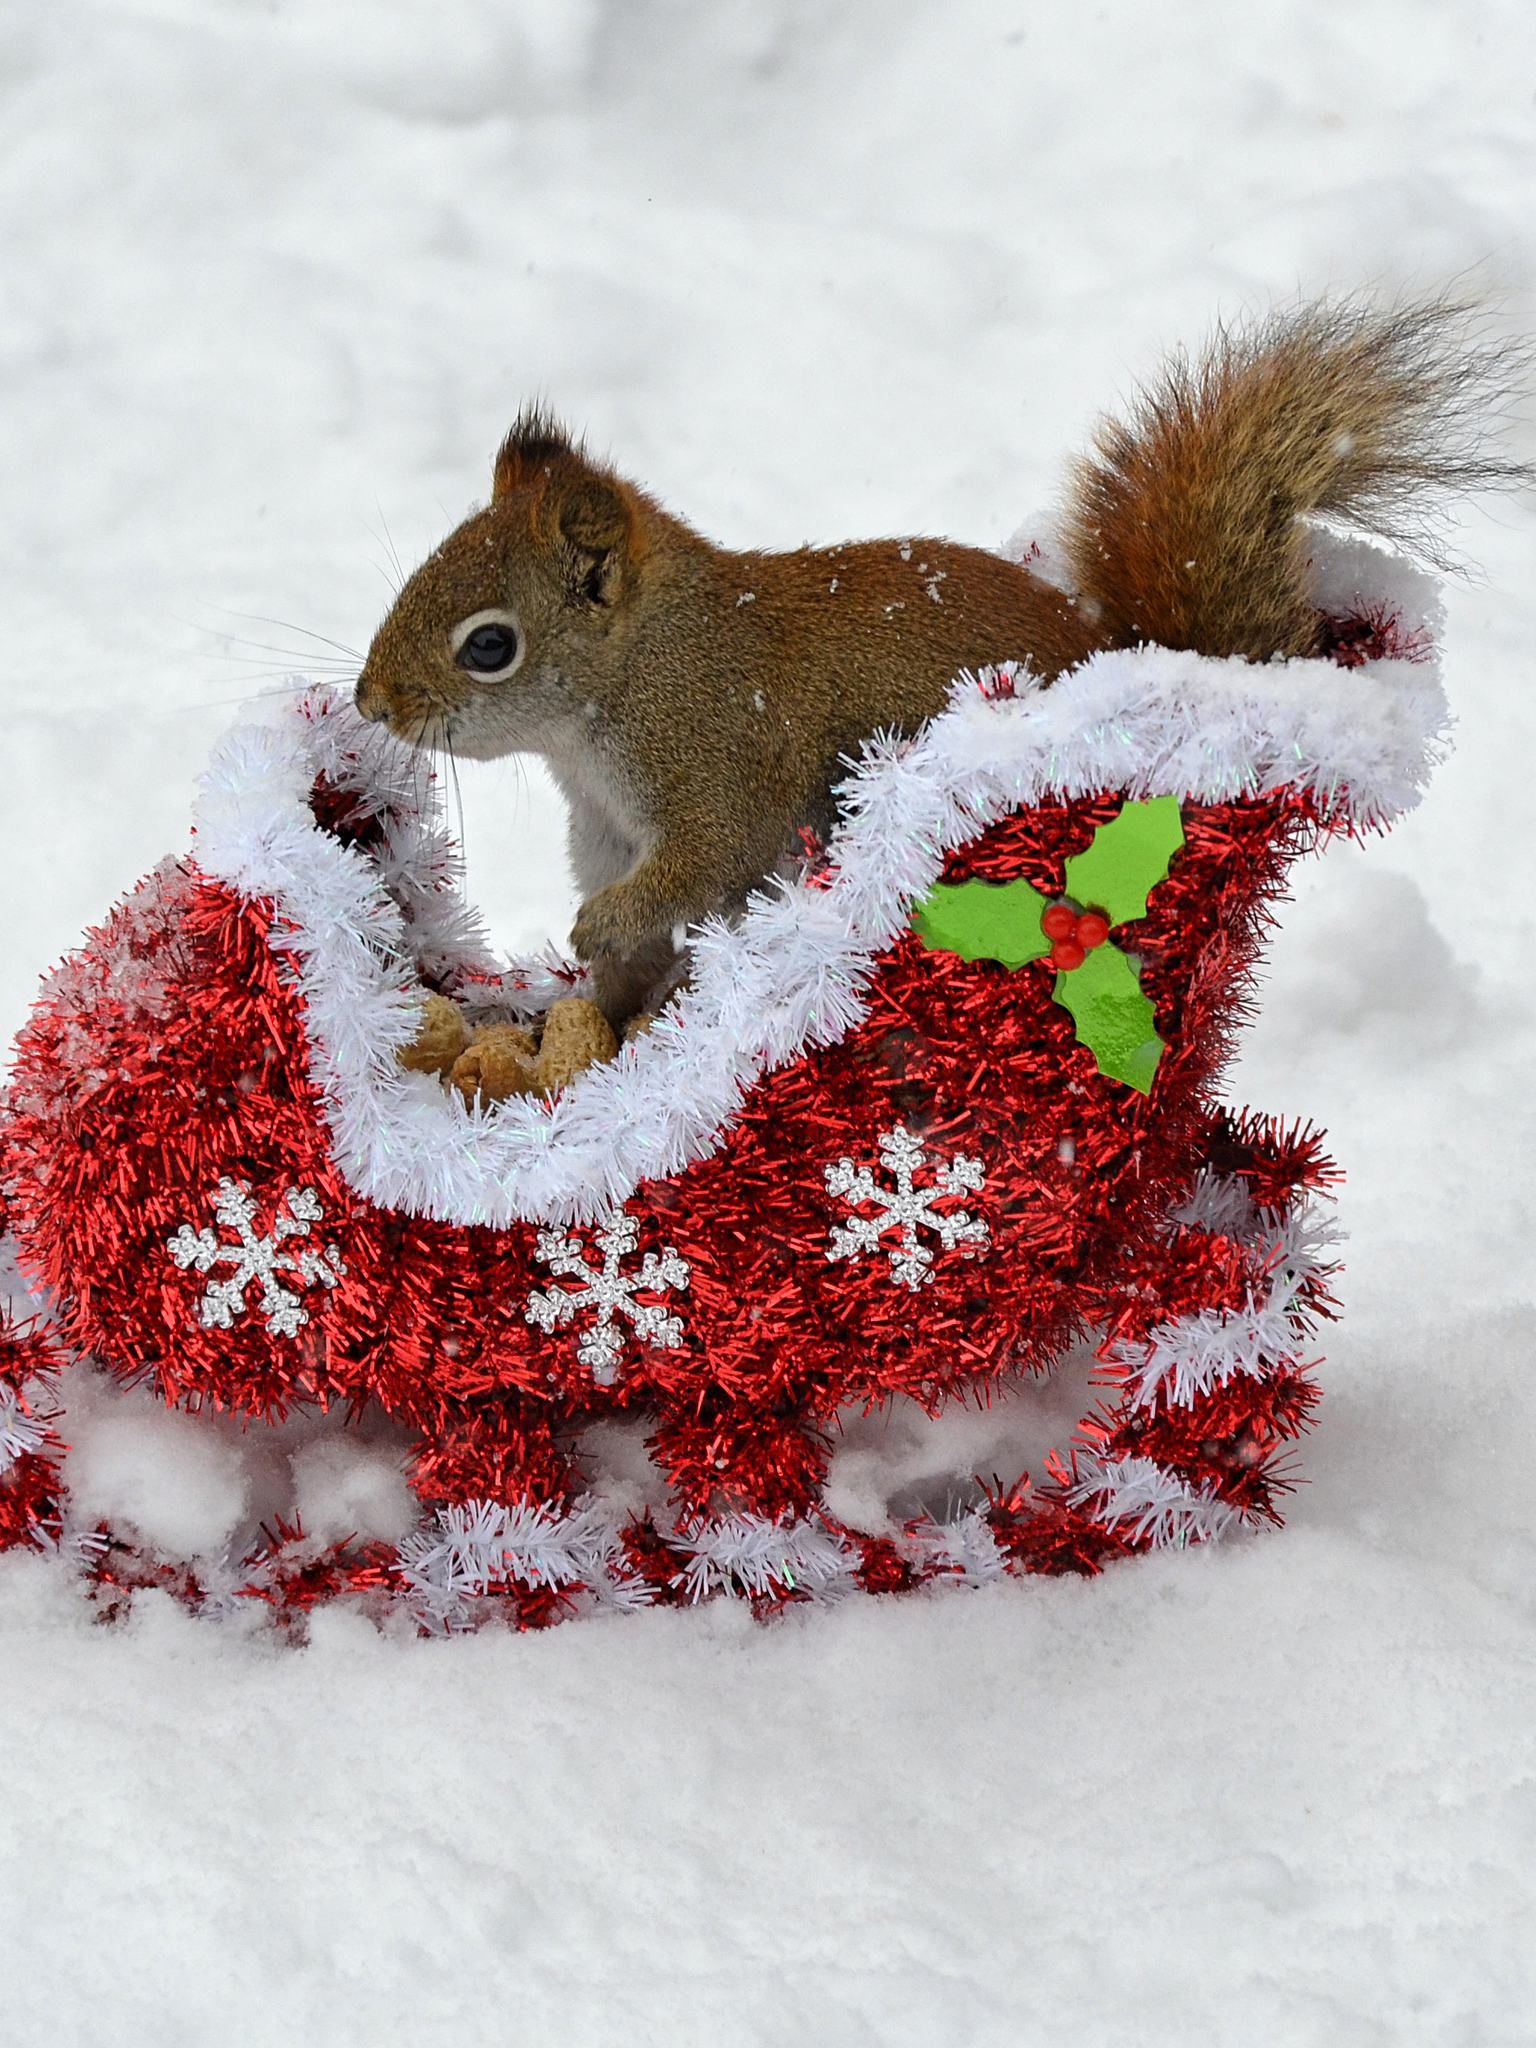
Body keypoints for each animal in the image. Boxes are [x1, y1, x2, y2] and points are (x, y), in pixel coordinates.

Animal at [353, 297, 1525, 1025]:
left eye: (490, 645)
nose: (369, 702)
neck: (640, 675)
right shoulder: (603, 830)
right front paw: (590, 1007)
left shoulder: (723, 763)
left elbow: (702, 862)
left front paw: (599, 934)